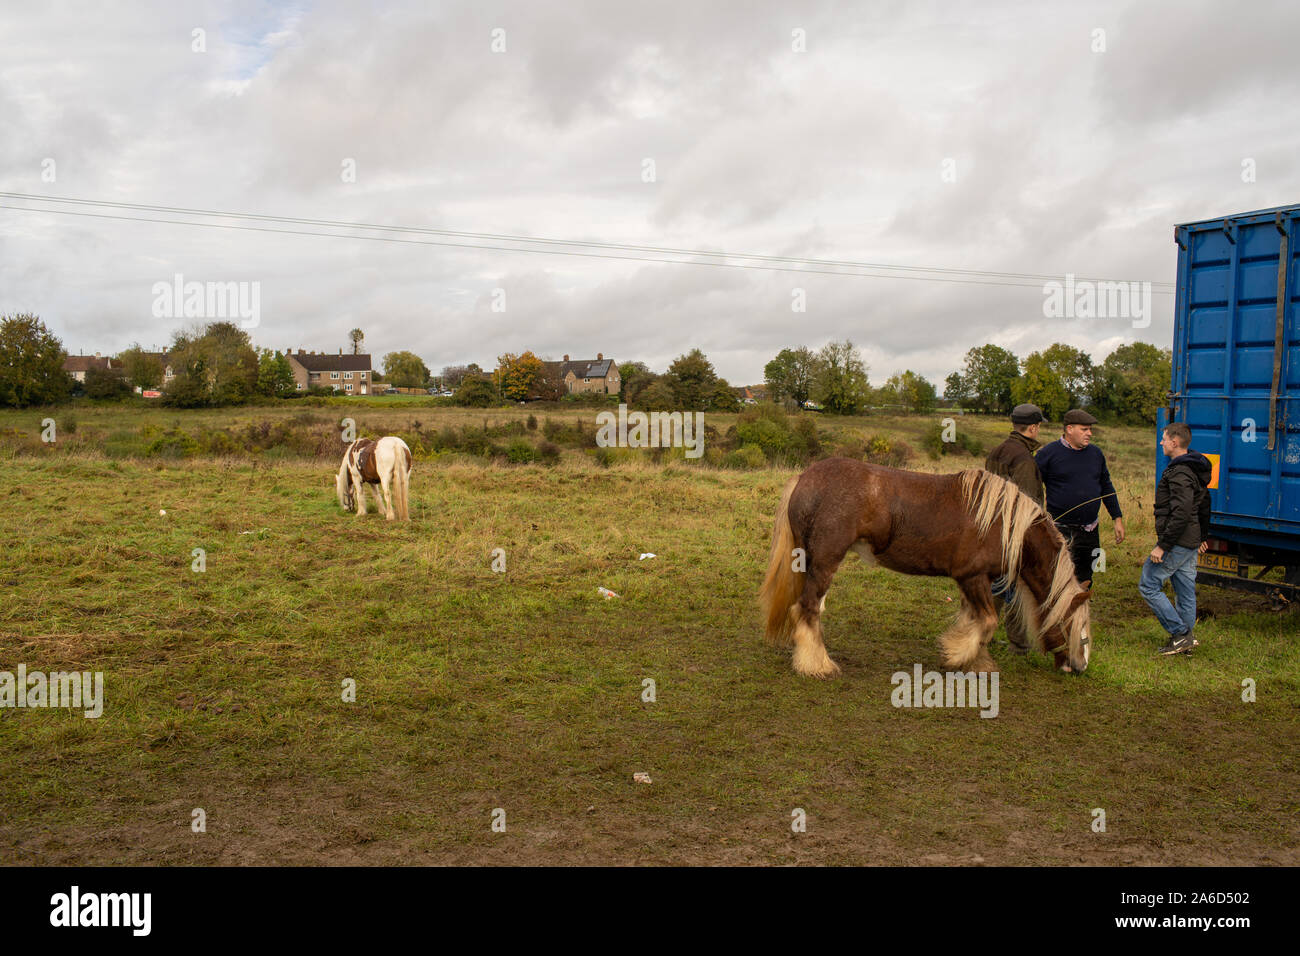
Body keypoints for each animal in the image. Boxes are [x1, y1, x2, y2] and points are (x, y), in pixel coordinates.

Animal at [759, 458, 1092, 678]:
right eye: (1074, 626)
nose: (1078, 666)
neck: (1003, 524)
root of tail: (804, 478)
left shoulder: (971, 582)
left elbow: (973, 621)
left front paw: (970, 660)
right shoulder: (973, 577)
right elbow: (986, 622)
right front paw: (958, 657)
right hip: (824, 563)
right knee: (808, 608)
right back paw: (818, 664)